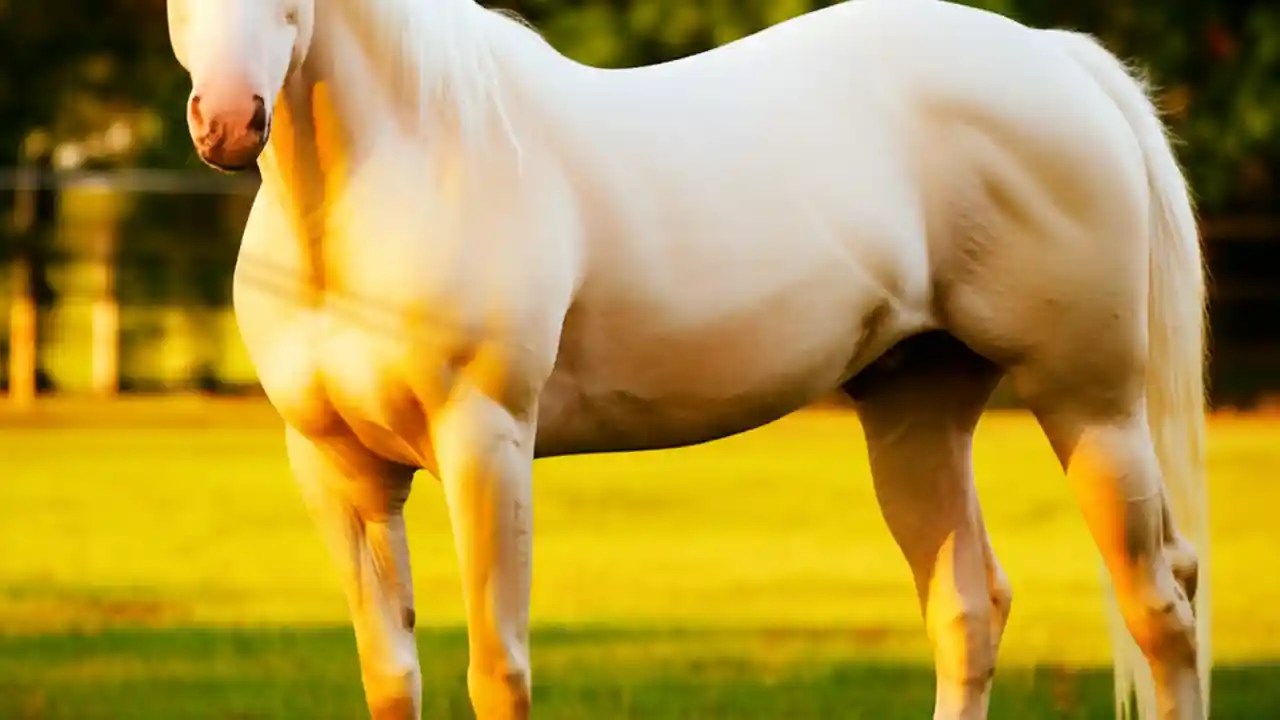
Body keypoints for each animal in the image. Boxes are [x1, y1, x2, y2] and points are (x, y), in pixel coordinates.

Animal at [163, 0, 1210, 717]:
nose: (229, 120)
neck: (406, 166)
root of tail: (1057, 57)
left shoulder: (483, 443)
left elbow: (498, 672)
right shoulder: (339, 471)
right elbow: (391, 676)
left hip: (1091, 405)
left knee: (1162, 608)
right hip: (918, 411)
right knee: (969, 611)